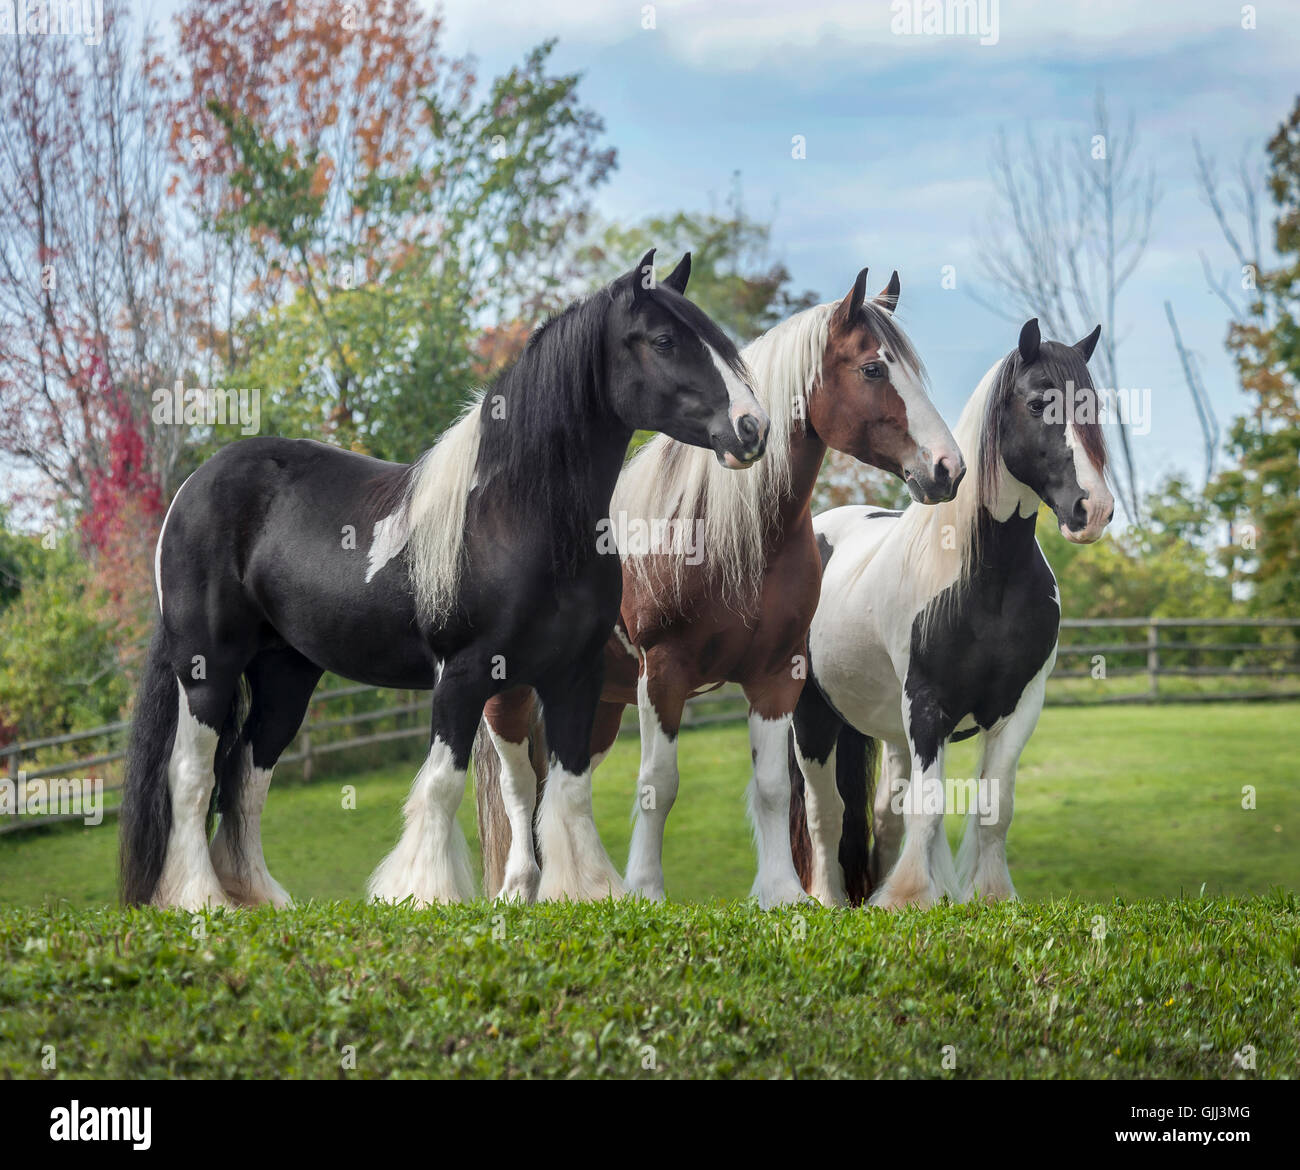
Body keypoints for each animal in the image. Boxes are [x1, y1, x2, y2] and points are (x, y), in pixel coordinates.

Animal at [118, 250, 771, 911]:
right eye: (663, 340)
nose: (752, 429)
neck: (519, 517)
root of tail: (194, 486)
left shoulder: (574, 676)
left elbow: (568, 789)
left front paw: (583, 891)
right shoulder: (461, 677)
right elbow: (441, 787)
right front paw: (423, 893)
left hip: (285, 674)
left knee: (247, 774)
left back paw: (261, 898)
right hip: (207, 666)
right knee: (192, 776)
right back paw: (200, 899)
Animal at [473, 268, 965, 906]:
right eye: (873, 370)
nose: (947, 468)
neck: (724, 529)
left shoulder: (777, 674)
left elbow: (774, 787)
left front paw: (783, 892)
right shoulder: (662, 674)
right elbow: (658, 783)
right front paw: (646, 889)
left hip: (597, 704)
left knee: (552, 787)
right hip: (510, 695)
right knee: (519, 785)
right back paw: (519, 887)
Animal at [786, 318, 1114, 910]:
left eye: (1092, 404)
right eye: (1038, 403)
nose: (1092, 510)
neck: (986, 580)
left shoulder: (1021, 706)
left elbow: (994, 809)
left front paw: (991, 895)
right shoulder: (927, 708)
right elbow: (930, 808)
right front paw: (913, 897)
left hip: (887, 730)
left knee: (883, 818)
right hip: (813, 718)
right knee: (826, 814)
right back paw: (828, 899)